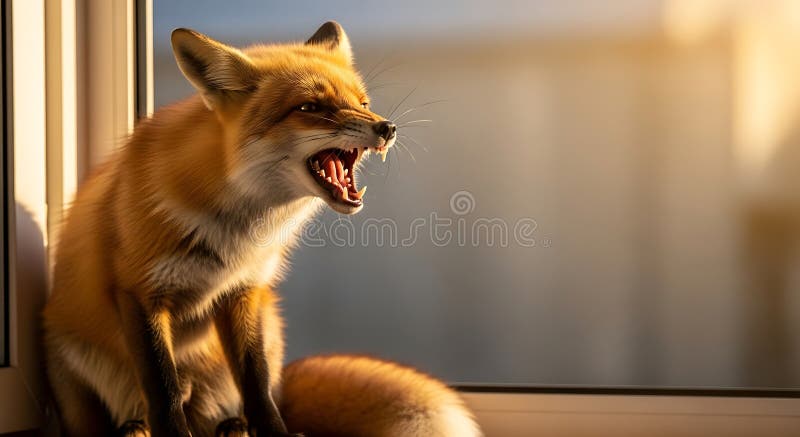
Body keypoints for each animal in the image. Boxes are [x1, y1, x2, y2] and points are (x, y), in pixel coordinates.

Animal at [41, 21, 481, 437]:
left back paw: (232, 426)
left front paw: (273, 432)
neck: (235, 230)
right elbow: (163, 391)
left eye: (363, 103)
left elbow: (256, 383)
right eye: (310, 106)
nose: (387, 128)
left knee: (256, 392)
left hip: (269, 323)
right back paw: (135, 427)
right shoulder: (140, 292)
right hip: (70, 366)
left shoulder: (244, 290)